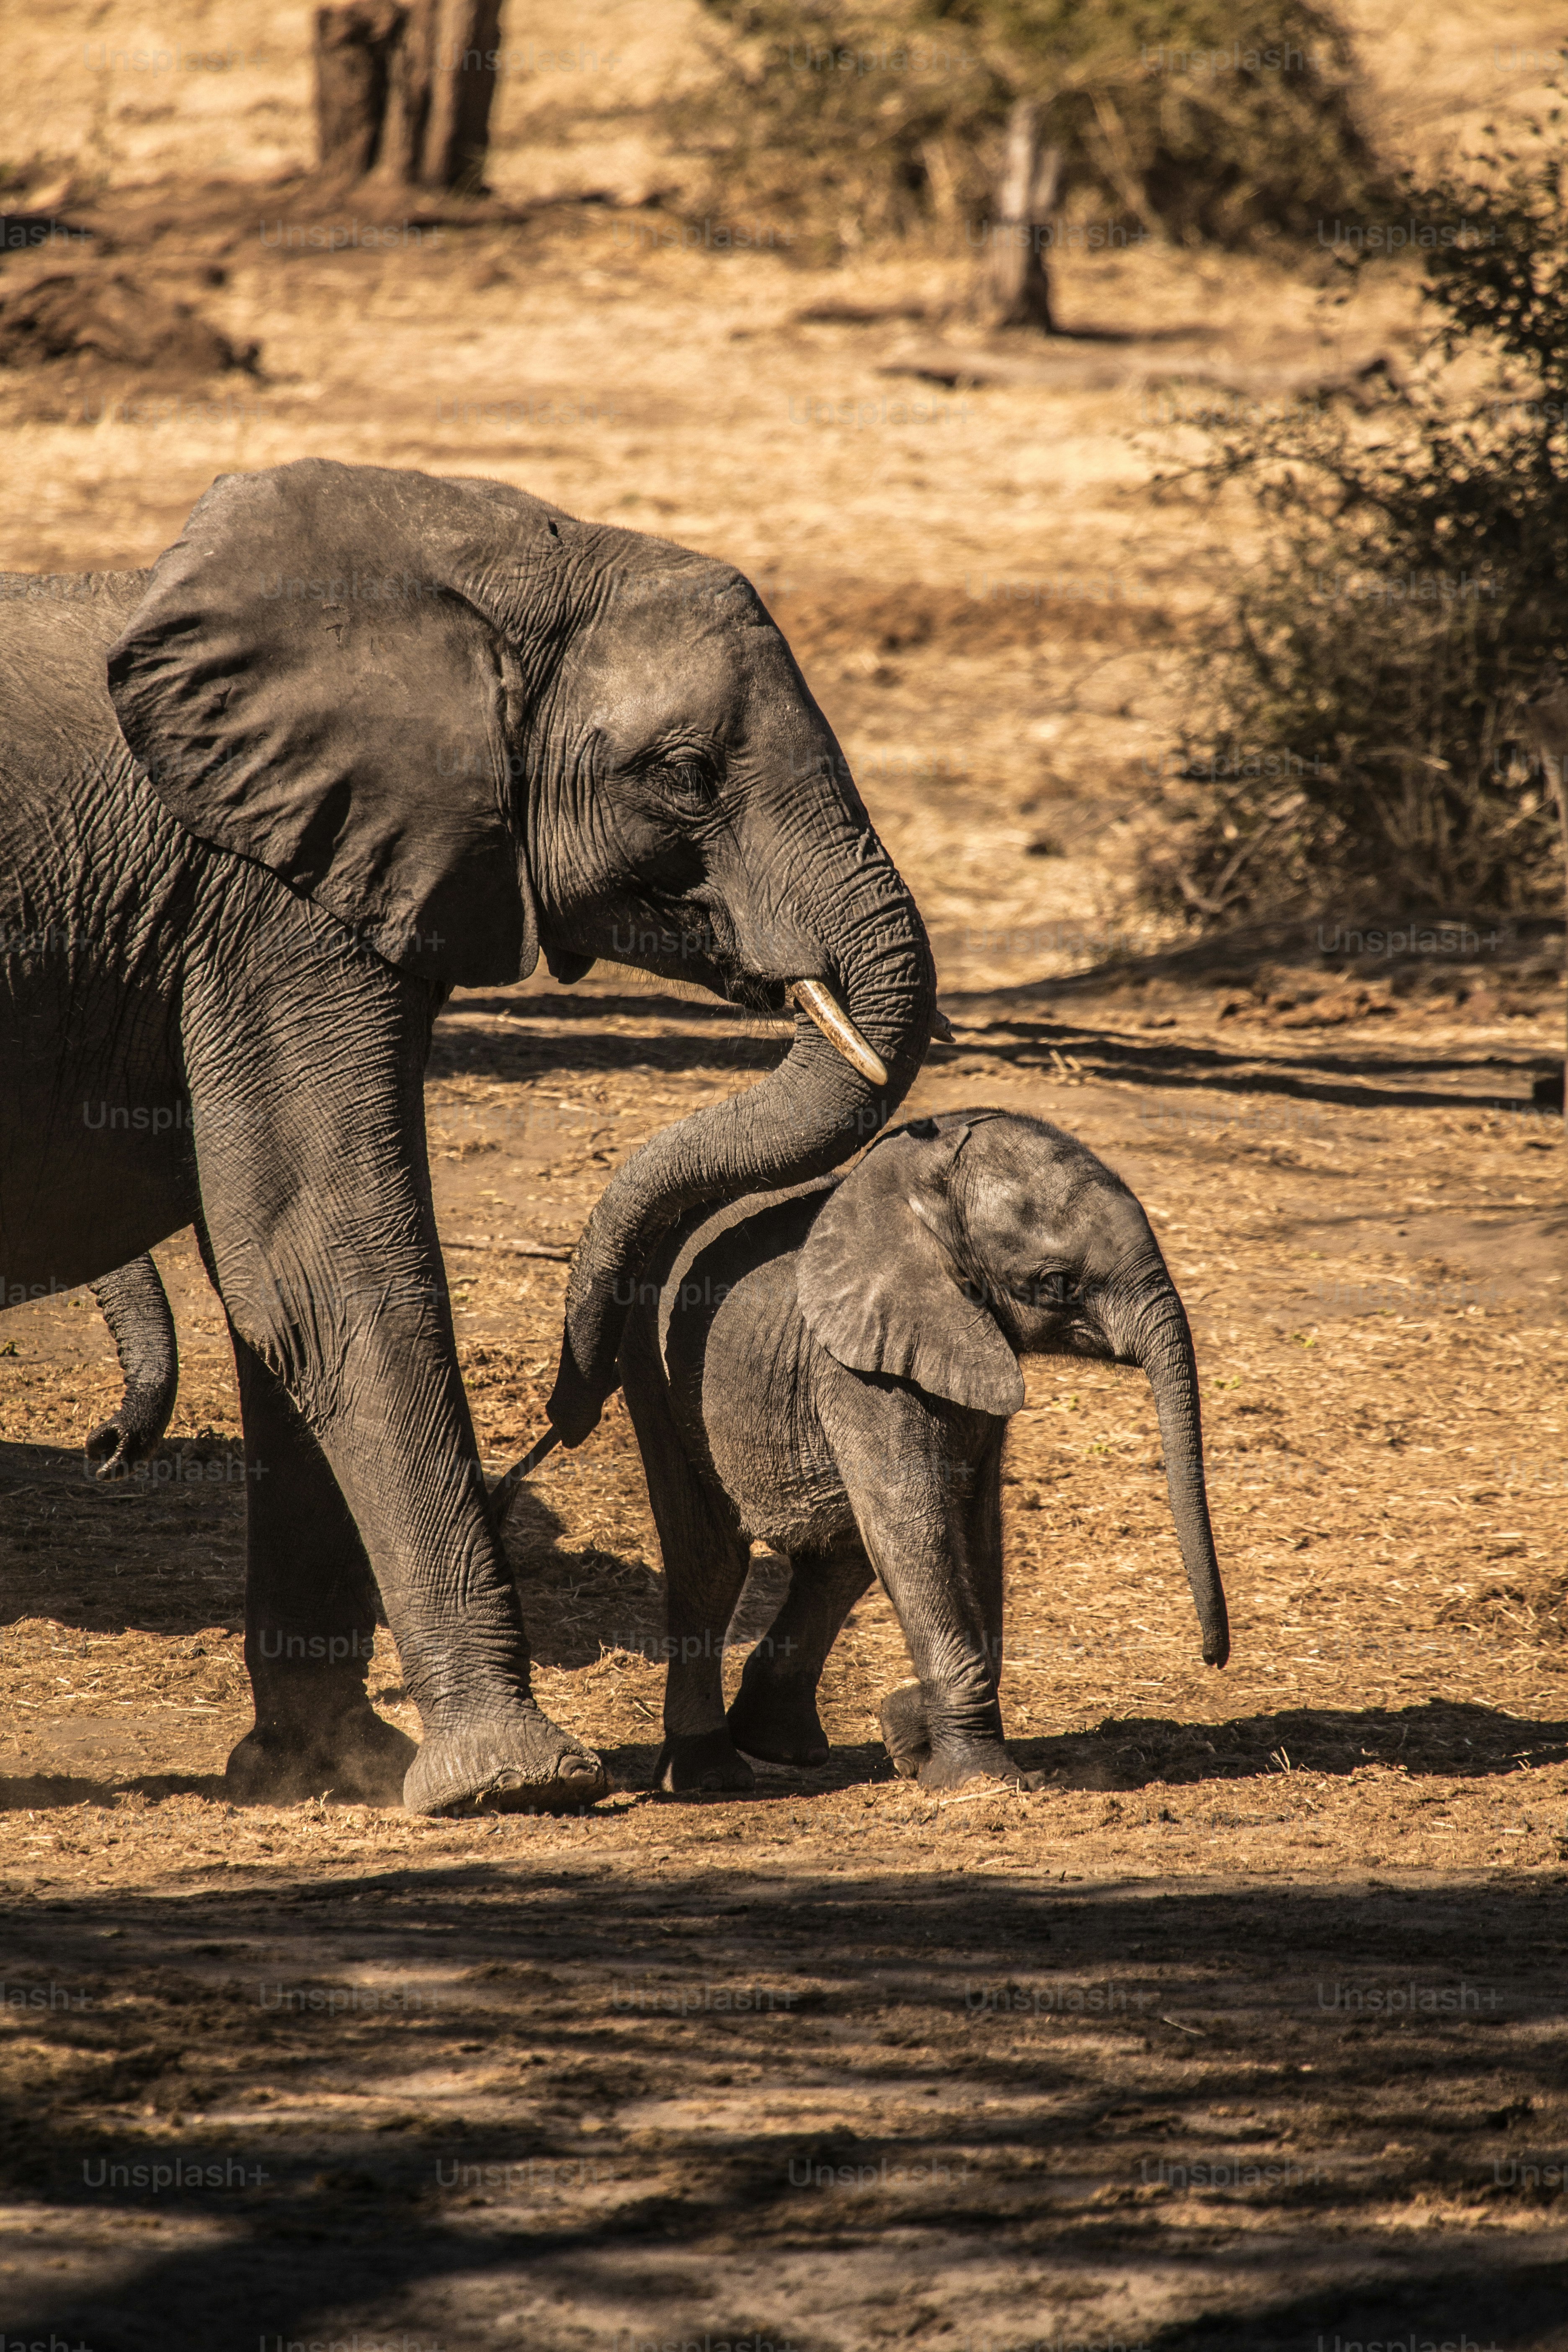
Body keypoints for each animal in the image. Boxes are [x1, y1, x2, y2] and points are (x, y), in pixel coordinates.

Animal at [0, 456, 936, 1814]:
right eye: (685, 775)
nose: (571, 1398)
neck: (492, 565)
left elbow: (277, 1279)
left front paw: (336, 1772)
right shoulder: (266, 904)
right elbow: (325, 1261)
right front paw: (515, 1783)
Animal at [611, 1109, 1229, 1794]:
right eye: (1056, 1284)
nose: (1211, 1658)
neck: (921, 1194)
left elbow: (973, 1526)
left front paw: (912, 1738)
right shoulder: (855, 1369)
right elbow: (919, 1525)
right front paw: (977, 1779)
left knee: (843, 1554)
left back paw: (783, 1747)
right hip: (651, 1363)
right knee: (712, 1562)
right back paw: (710, 1775)